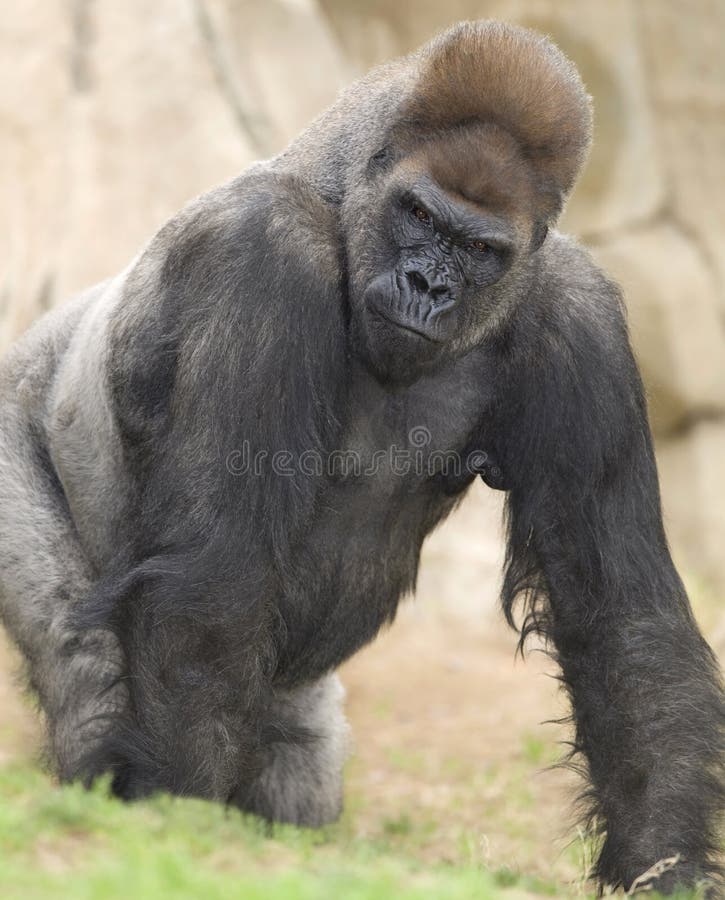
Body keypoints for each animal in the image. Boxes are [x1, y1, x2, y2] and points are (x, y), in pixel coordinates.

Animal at [0, 20, 722, 896]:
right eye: (416, 214)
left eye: (478, 248)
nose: (425, 283)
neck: (343, 192)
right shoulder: (263, 250)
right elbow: (212, 579)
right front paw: (184, 819)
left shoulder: (578, 318)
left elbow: (619, 617)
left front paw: (666, 861)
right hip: (18, 427)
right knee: (88, 660)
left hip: (288, 697)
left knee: (293, 752)